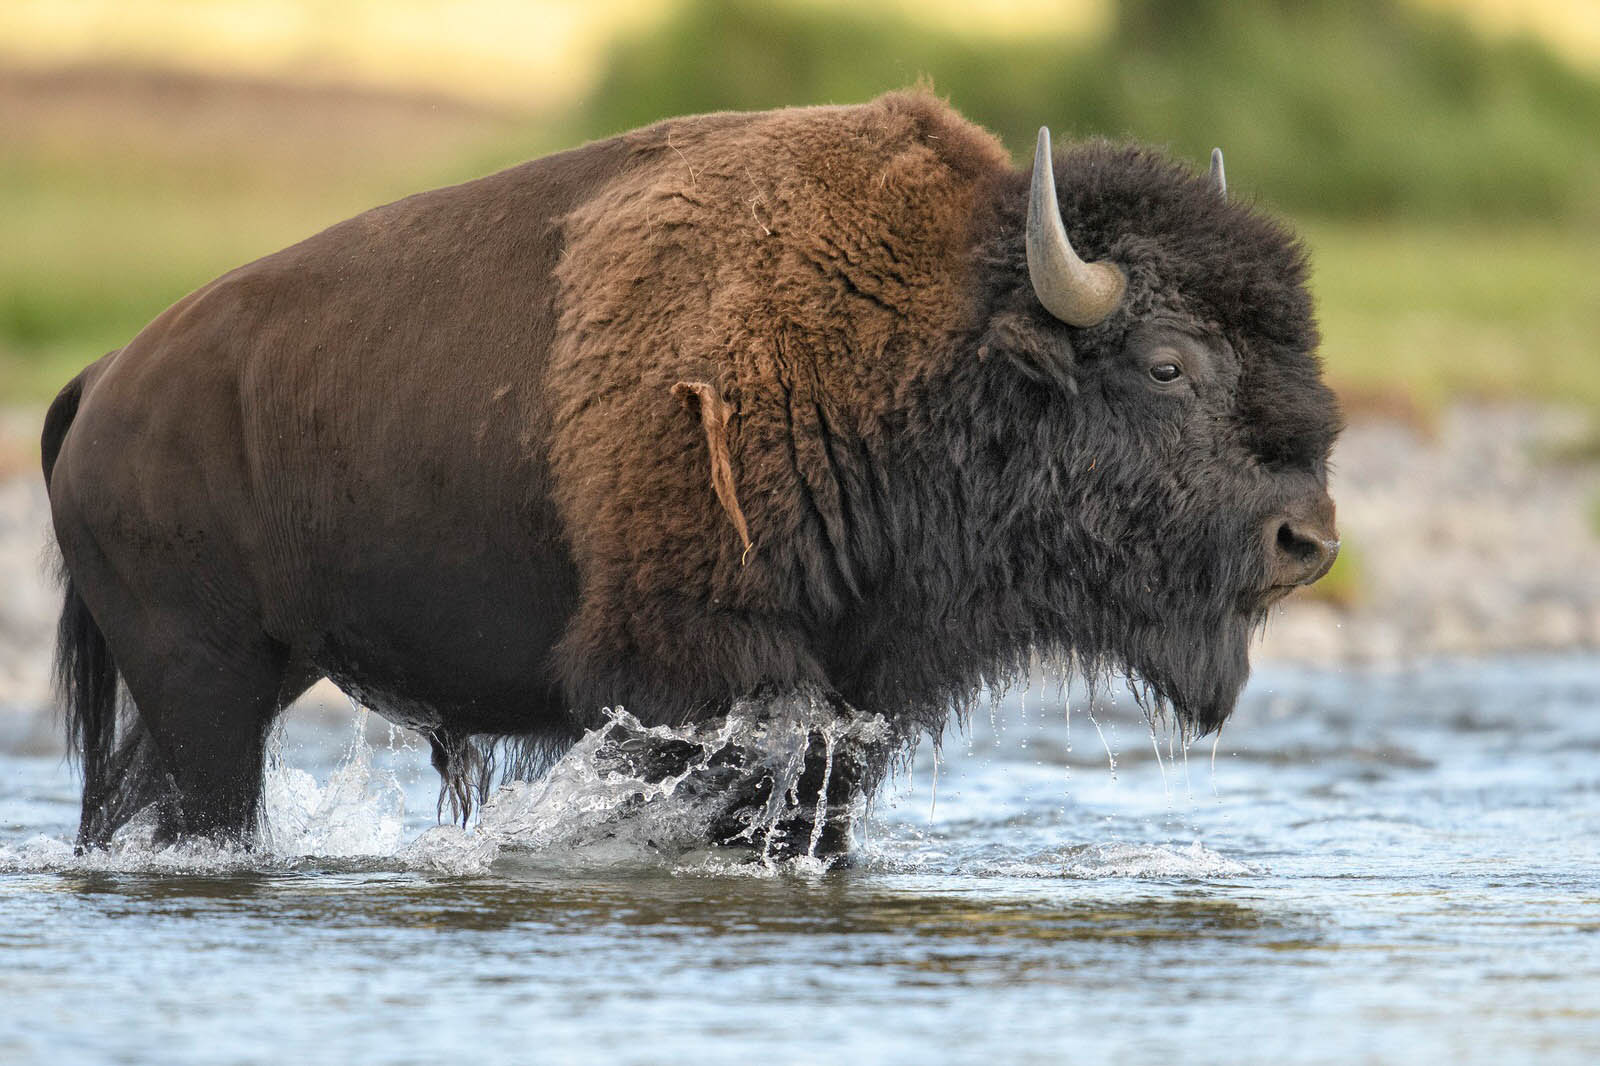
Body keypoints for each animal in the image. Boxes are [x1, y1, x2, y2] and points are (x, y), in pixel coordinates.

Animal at [42, 91, 1340, 855]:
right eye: (1168, 363)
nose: (1308, 540)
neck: (916, 338)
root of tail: (104, 379)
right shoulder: (697, 662)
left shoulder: (854, 685)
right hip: (204, 681)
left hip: (232, 683)